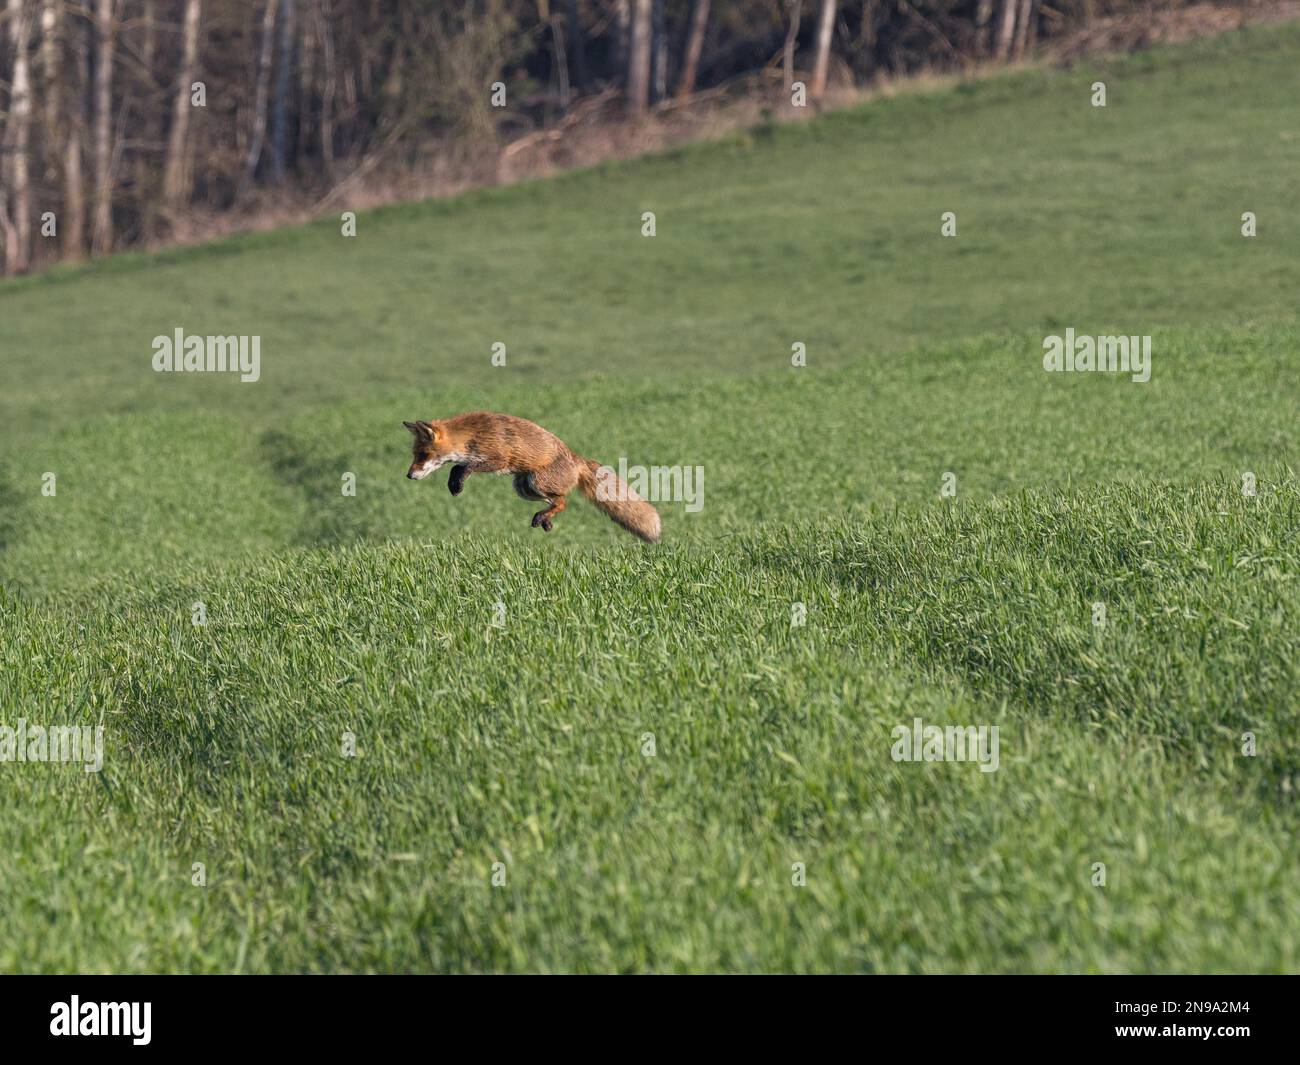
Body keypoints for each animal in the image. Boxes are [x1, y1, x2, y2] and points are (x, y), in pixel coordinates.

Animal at [403, 412, 662, 543]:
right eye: (414, 454)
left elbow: (460, 467)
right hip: (523, 487)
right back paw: (546, 519)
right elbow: (459, 466)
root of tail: (576, 458)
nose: (409, 475)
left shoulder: (498, 458)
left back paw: (542, 518)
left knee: (563, 501)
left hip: (535, 482)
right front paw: (454, 485)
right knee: (558, 501)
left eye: (424, 455)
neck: (470, 435)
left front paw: (456, 485)